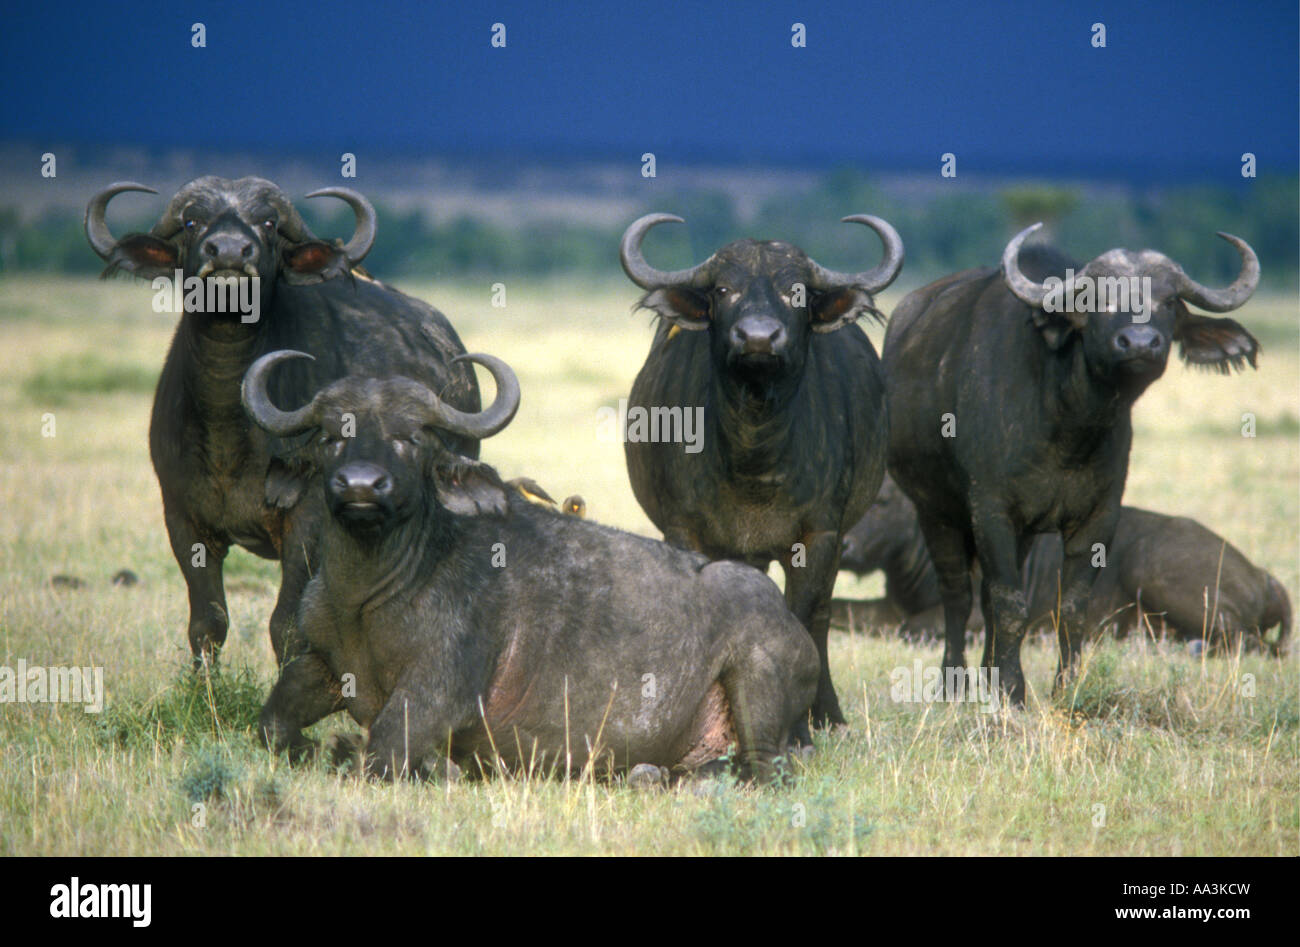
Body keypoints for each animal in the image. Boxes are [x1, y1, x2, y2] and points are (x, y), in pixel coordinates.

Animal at [85, 177, 479, 664]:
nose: (229, 251)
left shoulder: (307, 522)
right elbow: (207, 623)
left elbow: (289, 625)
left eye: (269, 223)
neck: (229, 423)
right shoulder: (182, 518)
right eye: (192, 222)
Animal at [244, 350, 817, 783]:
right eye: (330, 436)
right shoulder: (321, 662)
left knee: (765, 767)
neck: (366, 596)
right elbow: (271, 723)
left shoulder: (440, 688)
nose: (361, 485)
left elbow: (382, 752)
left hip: (757, 681)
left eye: (411, 438)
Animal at [619, 213, 903, 728]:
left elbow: (803, 617)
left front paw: (805, 720)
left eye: (796, 291)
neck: (754, 454)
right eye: (723, 289)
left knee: (821, 617)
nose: (757, 338)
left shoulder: (820, 536)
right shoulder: (684, 531)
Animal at [883, 226, 1261, 703]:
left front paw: (1062, 686)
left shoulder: (1098, 517)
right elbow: (1009, 604)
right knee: (958, 595)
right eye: (1098, 299)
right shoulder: (990, 510)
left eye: (1169, 300)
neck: (1068, 428)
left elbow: (1071, 608)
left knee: (984, 596)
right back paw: (954, 683)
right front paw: (1013, 691)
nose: (1139, 343)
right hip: (935, 511)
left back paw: (989, 673)